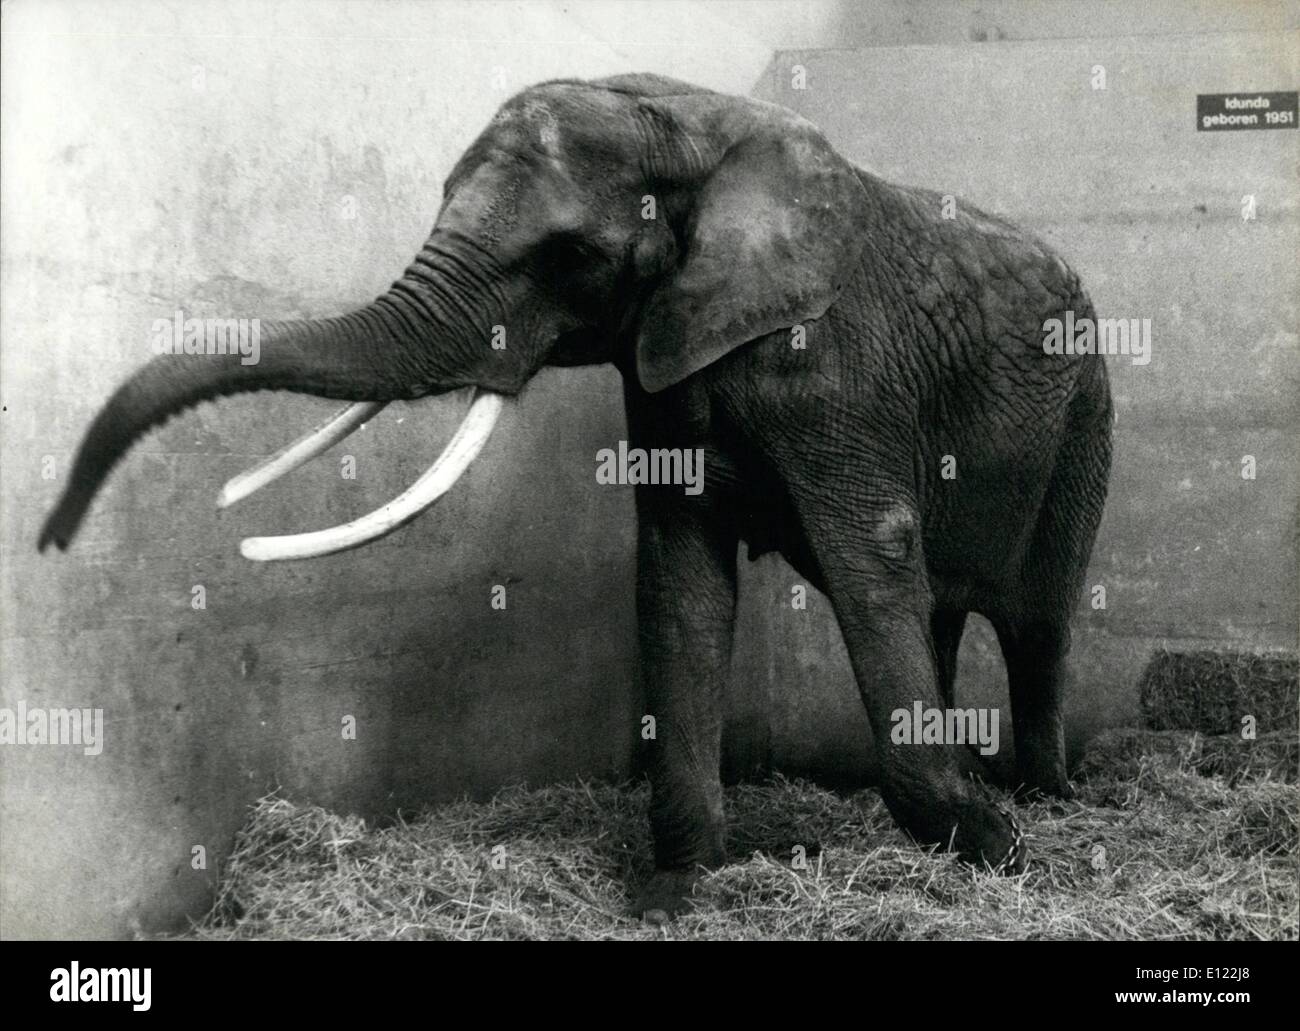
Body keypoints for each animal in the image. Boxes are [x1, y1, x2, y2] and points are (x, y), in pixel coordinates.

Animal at [39, 72, 1112, 920]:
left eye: (567, 256)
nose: (53, 534)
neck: (682, 118)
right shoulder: (664, 368)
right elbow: (682, 585)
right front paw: (676, 896)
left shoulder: (835, 374)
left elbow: (870, 553)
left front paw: (999, 855)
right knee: (941, 610)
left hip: (1088, 407)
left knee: (1038, 619)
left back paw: (1047, 799)